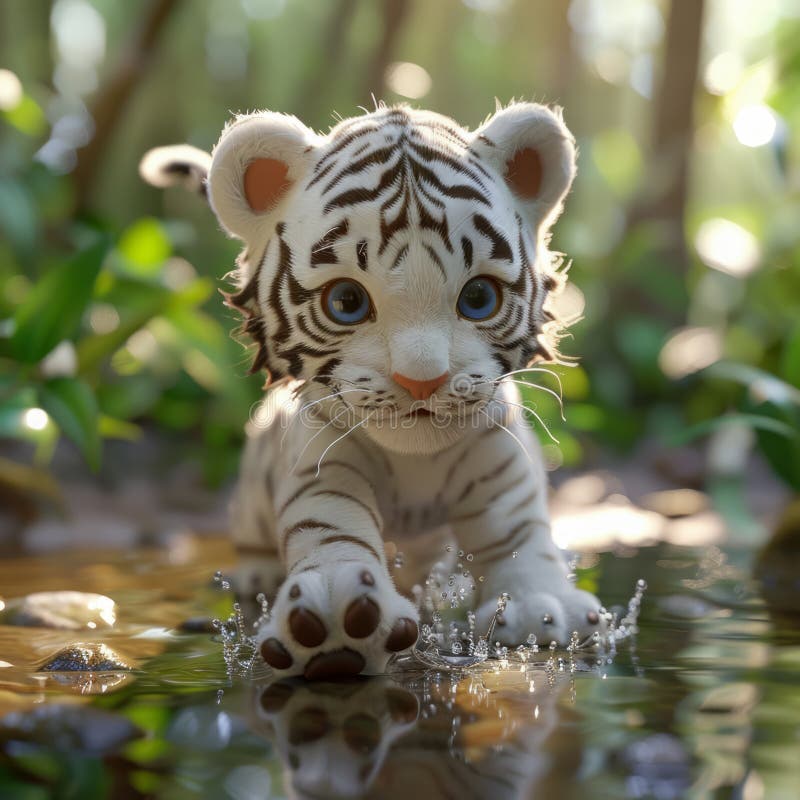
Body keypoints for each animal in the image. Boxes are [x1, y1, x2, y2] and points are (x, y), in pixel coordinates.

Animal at [140, 101, 604, 680]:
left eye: (479, 298)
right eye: (347, 302)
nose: (422, 380)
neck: (415, 463)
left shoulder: (503, 466)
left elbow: (517, 536)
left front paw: (545, 607)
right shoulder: (322, 470)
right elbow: (333, 529)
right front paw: (335, 620)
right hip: (249, 497)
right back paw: (260, 578)